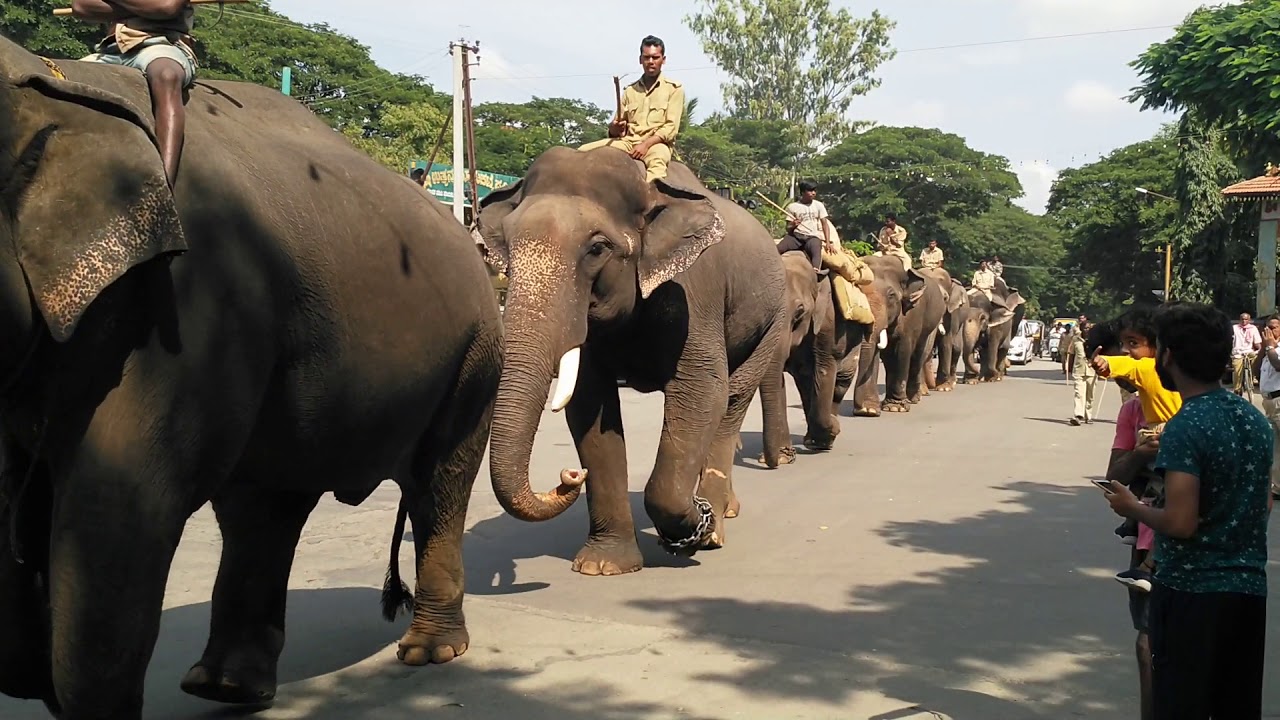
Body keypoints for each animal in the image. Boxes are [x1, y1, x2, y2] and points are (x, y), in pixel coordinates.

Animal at [0, 38, 502, 720]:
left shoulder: (181, 308)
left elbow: (122, 505)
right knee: (264, 503)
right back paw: (225, 687)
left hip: (473, 356)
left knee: (438, 483)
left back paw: (430, 653)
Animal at [473, 146, 787, 574]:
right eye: (506, 243)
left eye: (597, 248)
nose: (570, 475)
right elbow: (590, 405)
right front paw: (603, 566)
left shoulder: (694, 294)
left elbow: (703, 390)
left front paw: (694, 531)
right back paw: (724, 510)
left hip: (771, 322)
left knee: (734, 399)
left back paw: (717, 525)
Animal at [851, 257, 950, 414]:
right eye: (857, 291)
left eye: (891, 296)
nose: (860, 409)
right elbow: (879, 352)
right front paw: (869, 411)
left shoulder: (911, 314)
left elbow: (902, 350)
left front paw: (895, 408)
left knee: (917, 354)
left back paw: (913, 398)